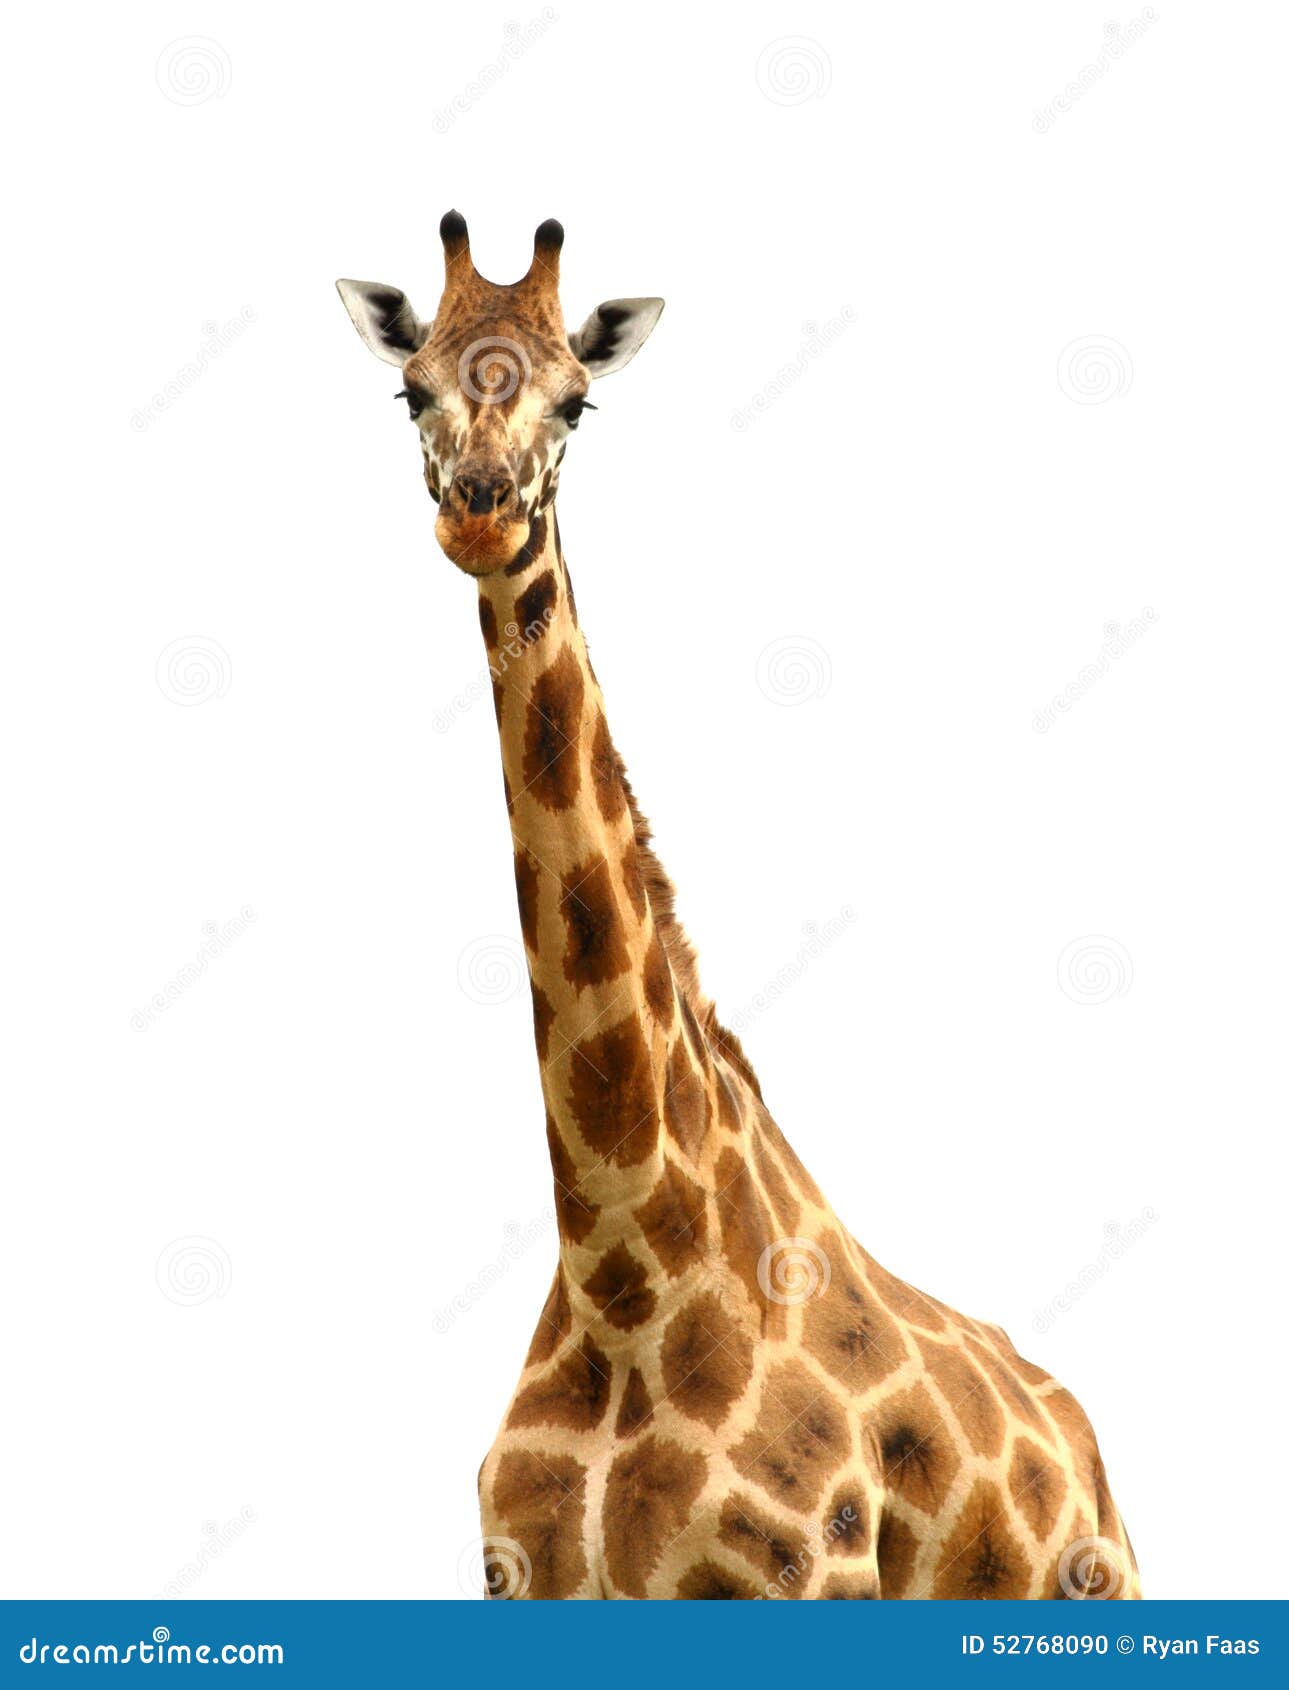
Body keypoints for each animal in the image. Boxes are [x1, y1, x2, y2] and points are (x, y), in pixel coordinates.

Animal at [337, 213, 1141, 1601]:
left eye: (577, 400)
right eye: (411, 389)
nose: (480, 512)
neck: (623, 1266)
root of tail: (1082, 1440)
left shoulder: (804, 1576)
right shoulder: (520, 1579)